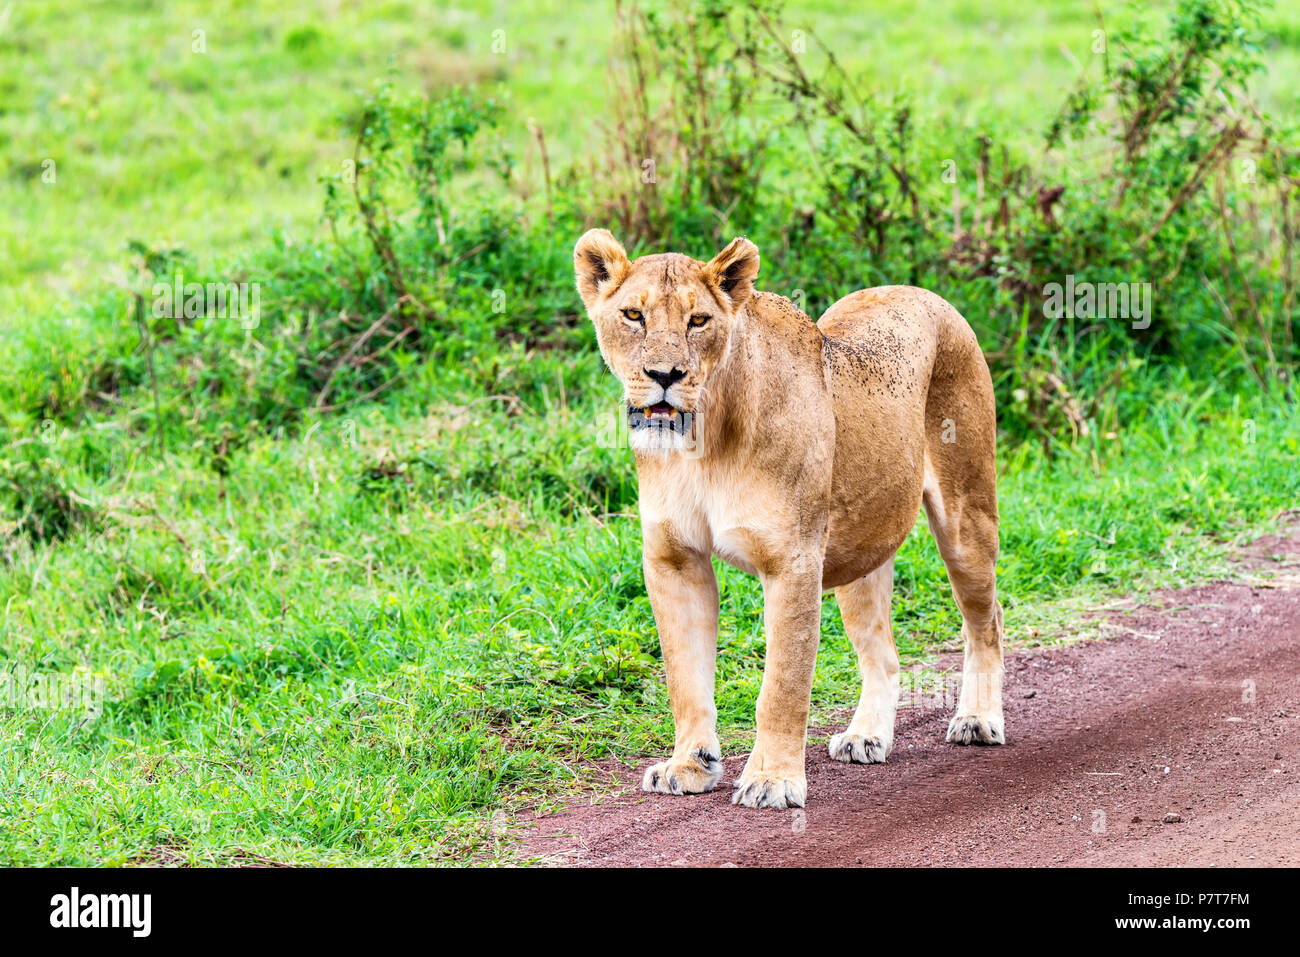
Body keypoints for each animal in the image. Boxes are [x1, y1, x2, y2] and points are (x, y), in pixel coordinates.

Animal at [574, 229, 1005, 809]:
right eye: (633, 315)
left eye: (698, 321)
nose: (664, 375)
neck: (702, 441)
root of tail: (921, 291)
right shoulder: (674, 561)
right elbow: (685, 678)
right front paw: (689, 765)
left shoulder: (792, 560)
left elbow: (782, 684)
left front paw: (772, 781)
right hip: (859, 548)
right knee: (884, 652)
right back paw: (867, 735)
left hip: (966, 518)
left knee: (987, 620)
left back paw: (977, 720)